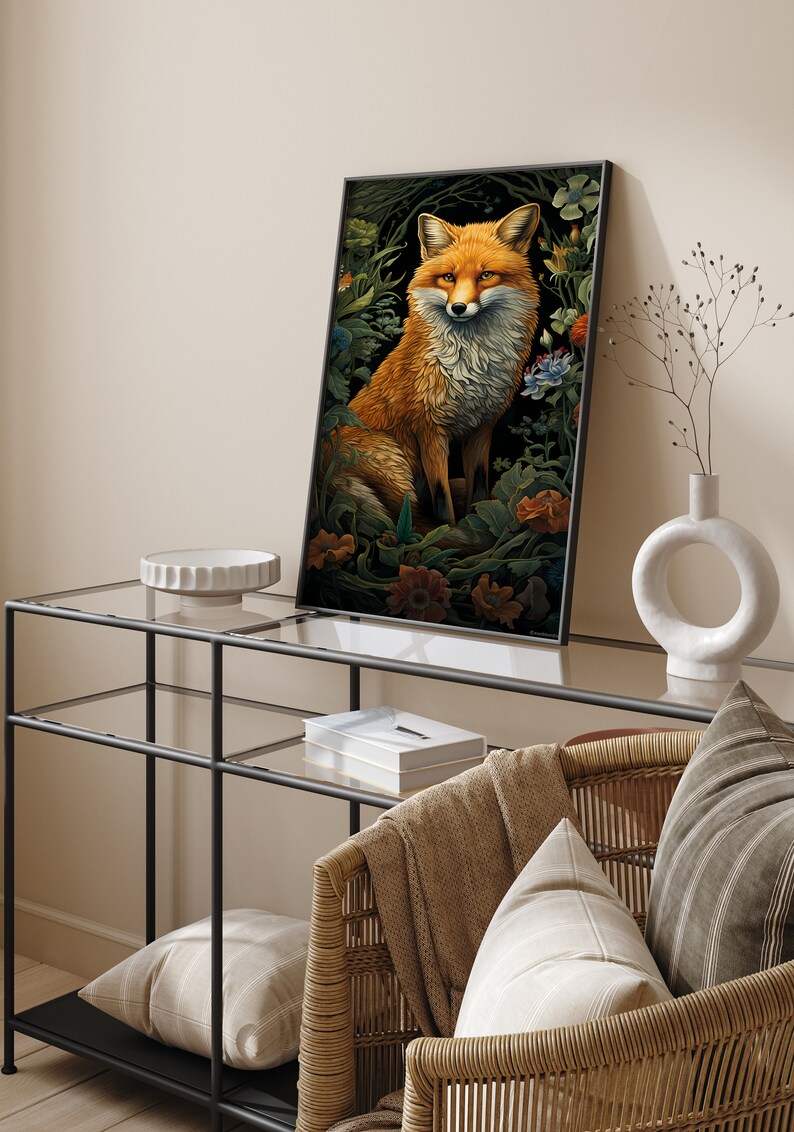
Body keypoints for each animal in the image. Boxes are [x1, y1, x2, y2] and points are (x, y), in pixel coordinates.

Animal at [330, 201, 541, 531]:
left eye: (486, 275)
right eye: (448, 278)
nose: (458, 308)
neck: (472, 364)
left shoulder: (482, 427)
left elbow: (479, 487)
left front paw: (478, 526)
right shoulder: (429, 429)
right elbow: (441, 496)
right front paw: (452, 528)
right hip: (394, 463)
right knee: (408, 522)